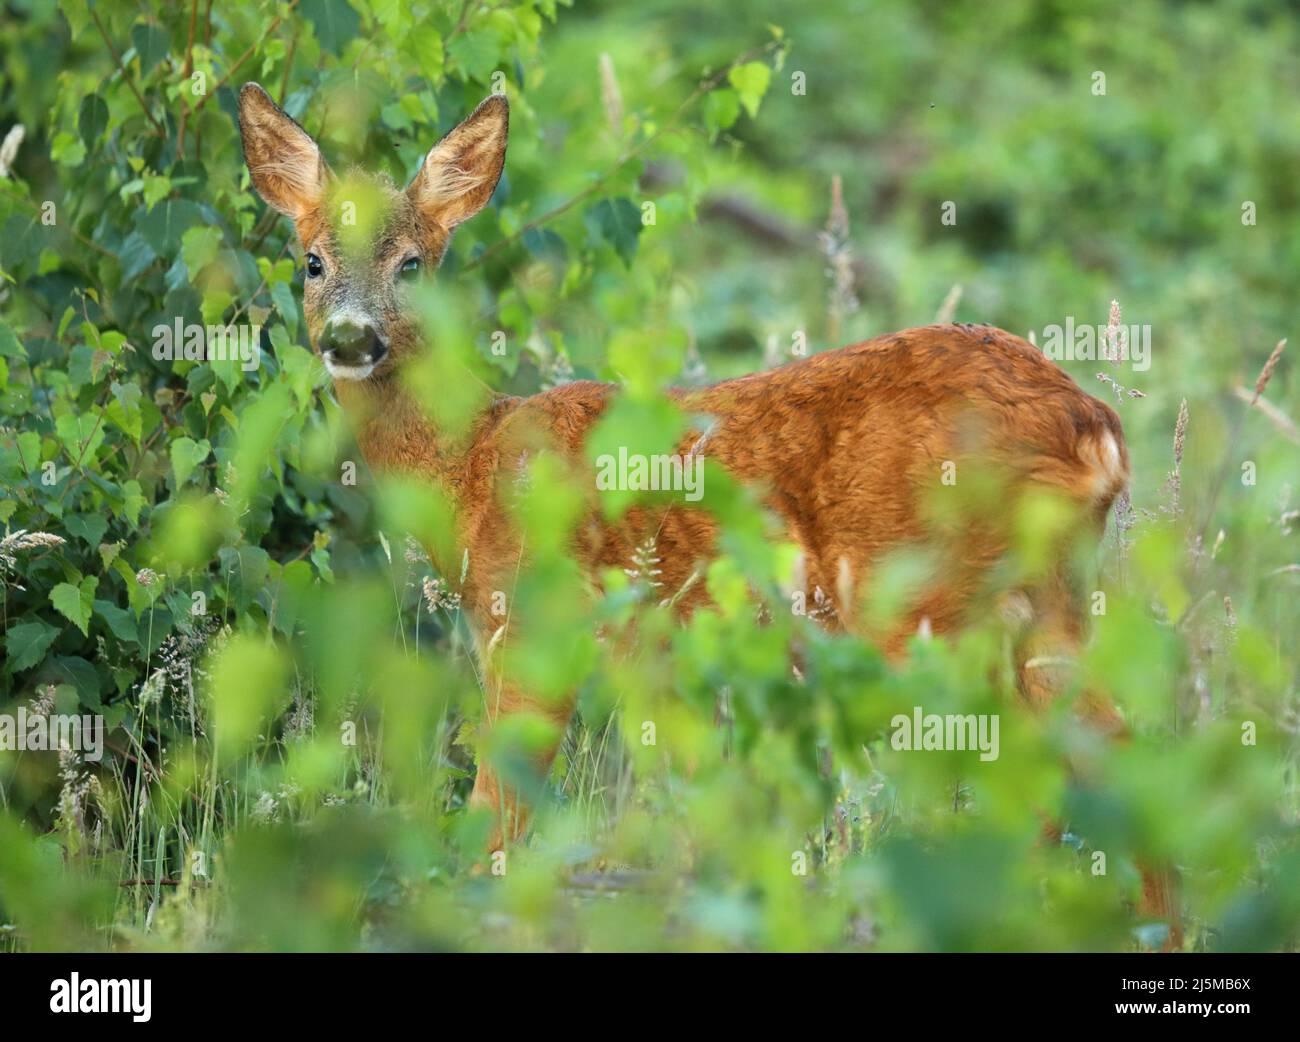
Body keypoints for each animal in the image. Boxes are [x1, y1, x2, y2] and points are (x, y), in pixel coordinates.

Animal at [237, 83, 1179, 946]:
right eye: (311, 259)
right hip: (1045, 601)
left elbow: (497, 809)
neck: (472, 462)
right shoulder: (654, 651)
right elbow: (695, 798)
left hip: (926, 601)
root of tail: (1094, 426)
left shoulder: (536, 619)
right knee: (1109, 750)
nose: (352, 339)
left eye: (412, 263)